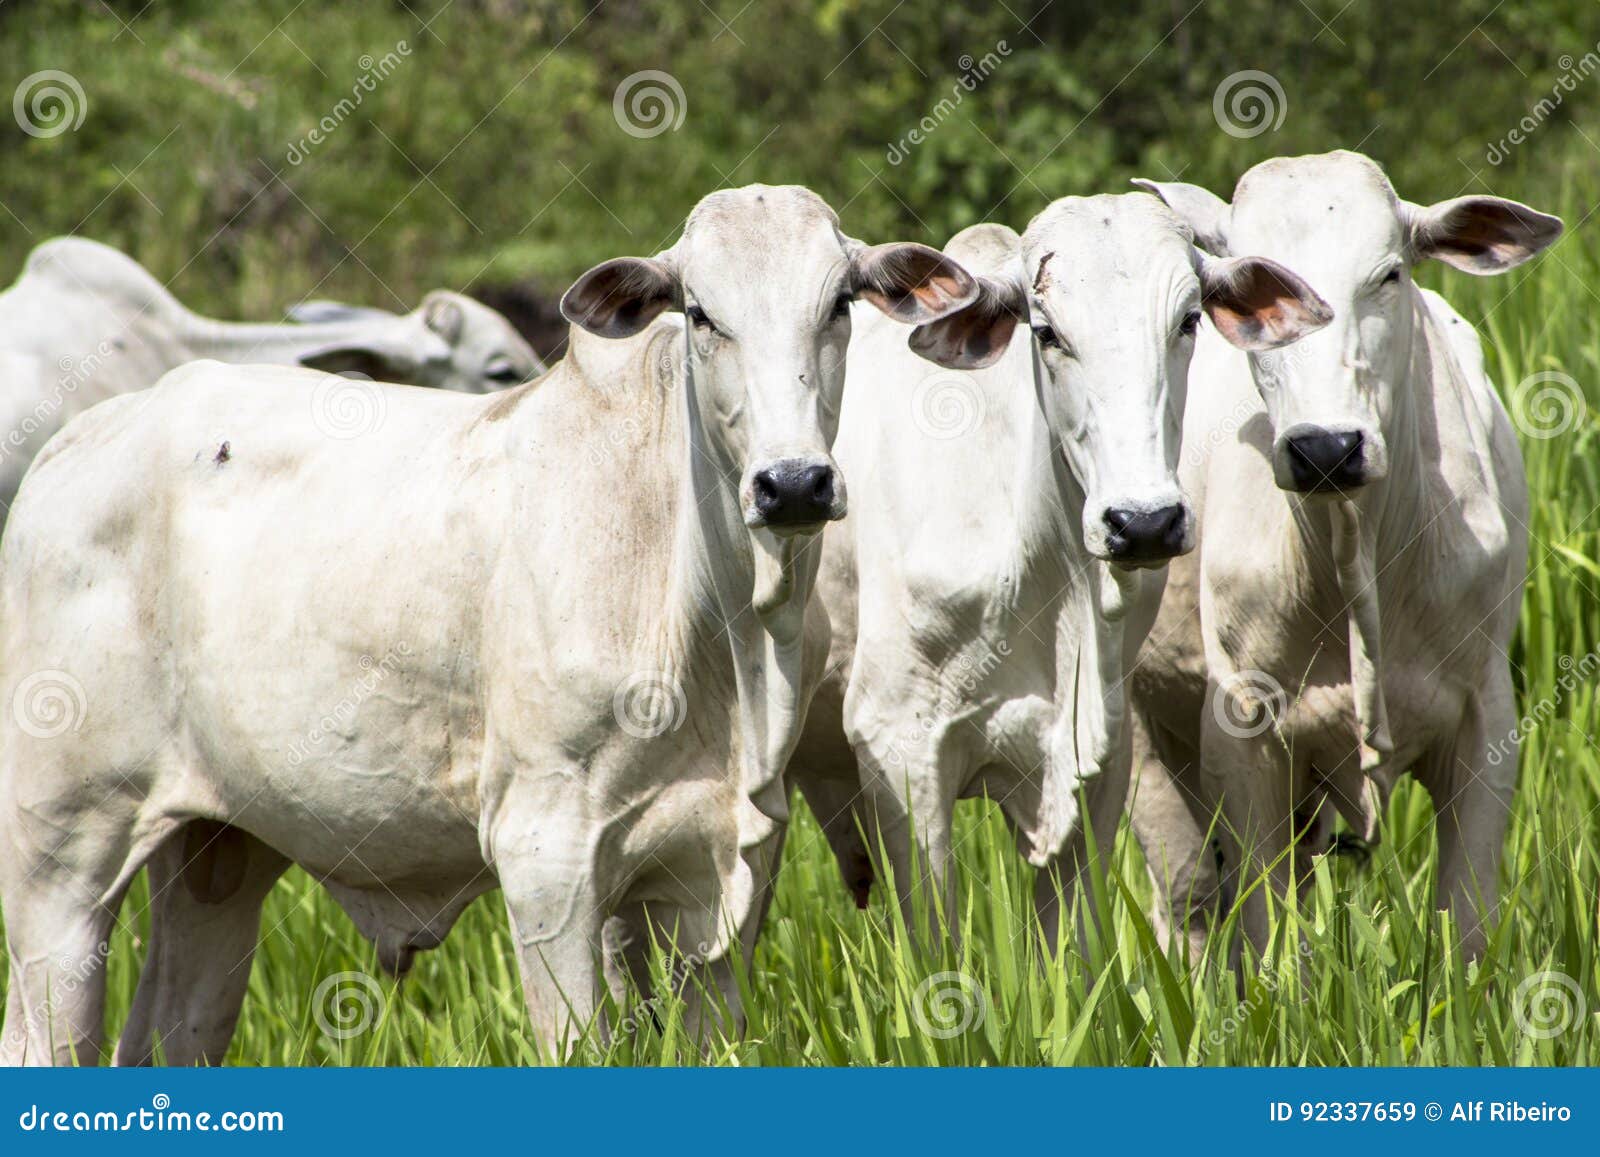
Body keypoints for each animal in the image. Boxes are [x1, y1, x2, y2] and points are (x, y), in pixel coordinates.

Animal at [1126, 151, 1560, 960]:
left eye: (1388, 274)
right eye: (1246, 296)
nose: (1326, 447)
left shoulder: (1486, 714)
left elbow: (1467, 921)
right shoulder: (1241, 728)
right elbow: (1265, 931)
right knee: (1189, 897)